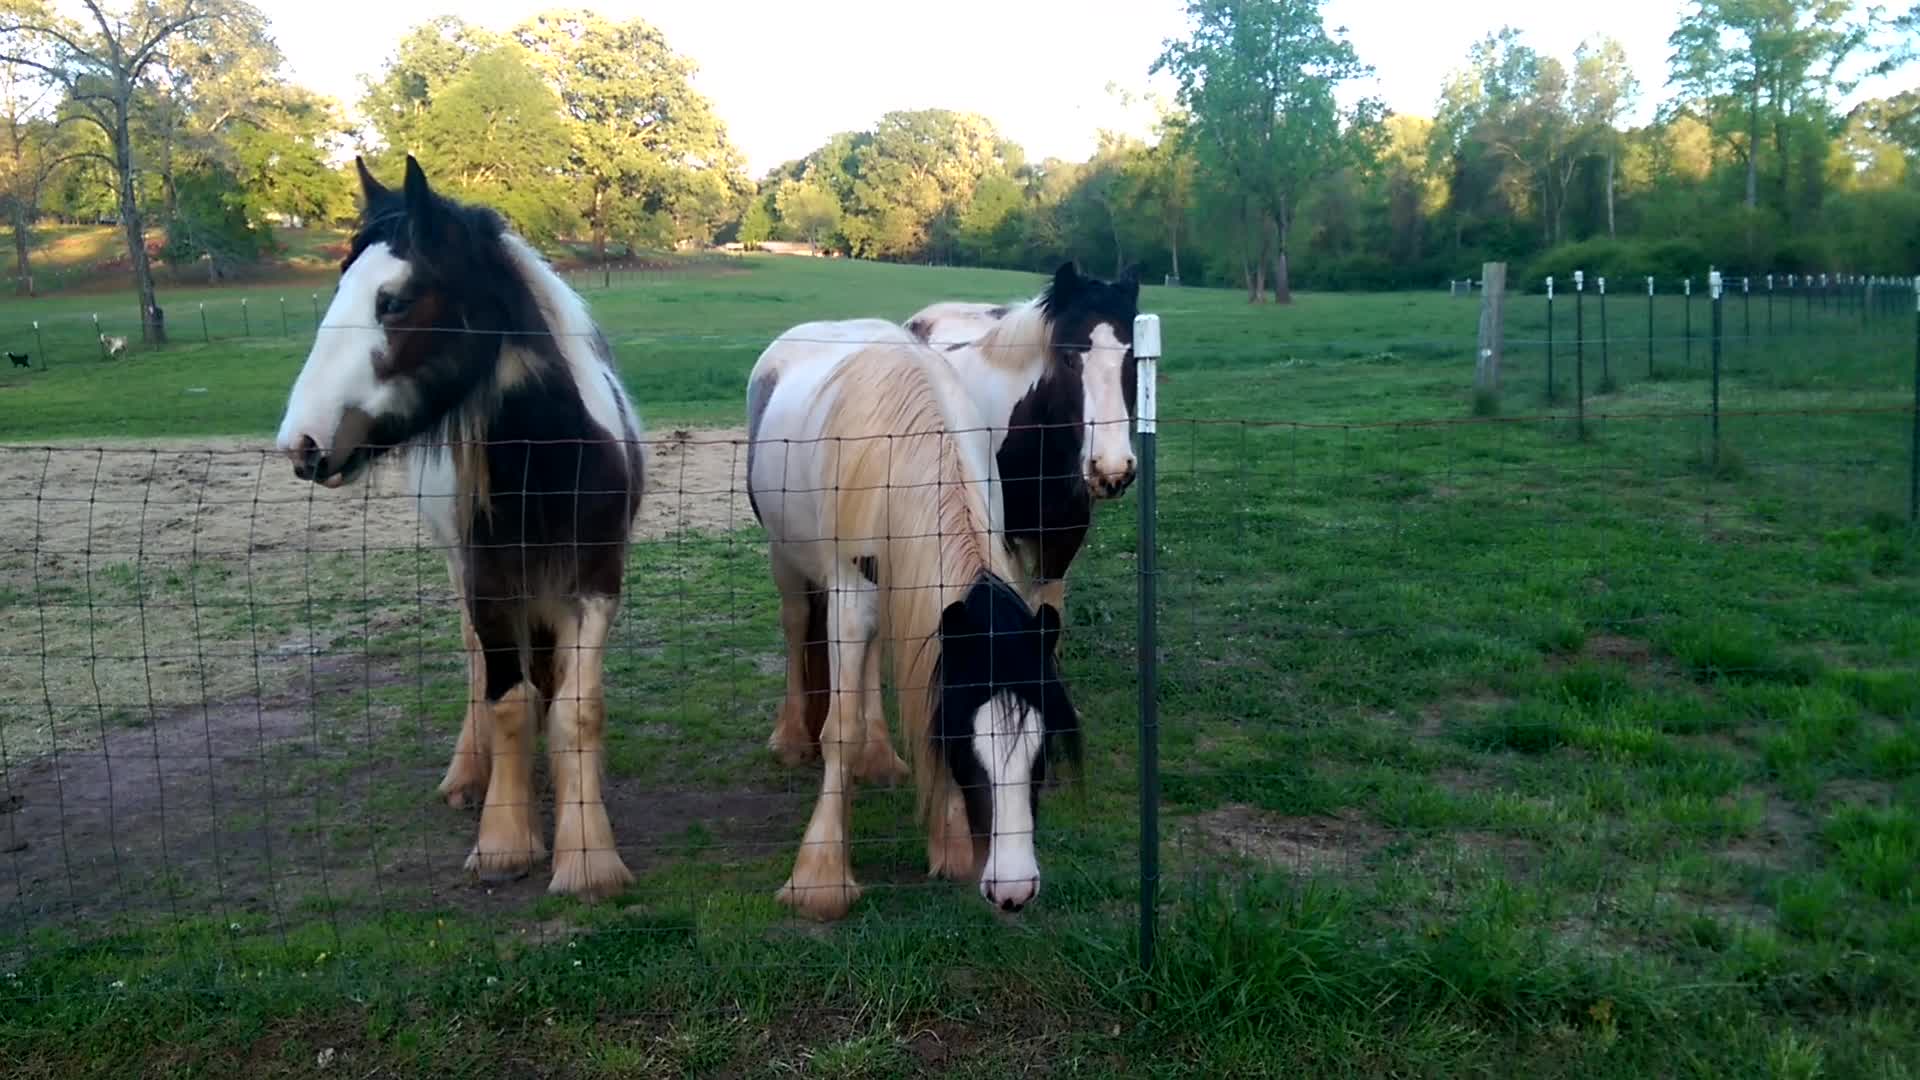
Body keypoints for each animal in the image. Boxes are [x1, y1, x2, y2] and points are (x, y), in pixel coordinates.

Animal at [273, 155, 646, 899]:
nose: (302, 443)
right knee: (480, 664)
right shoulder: (490, 584)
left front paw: (587, 855)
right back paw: (471, 775)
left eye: (391, 301)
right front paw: (505, 841)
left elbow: (576, 710)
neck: (548, 467)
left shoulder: (595, 583)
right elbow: (506, 699)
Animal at [746, 318, 1081, 920]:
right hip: (786, 558)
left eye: (1041, 752)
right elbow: (841, 730)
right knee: (794, 625)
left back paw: (880, 757)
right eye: (969, 750)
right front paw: (820, 876)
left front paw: (950, 843)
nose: (1014, 891)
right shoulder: (848, 592)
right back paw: (791, 739)